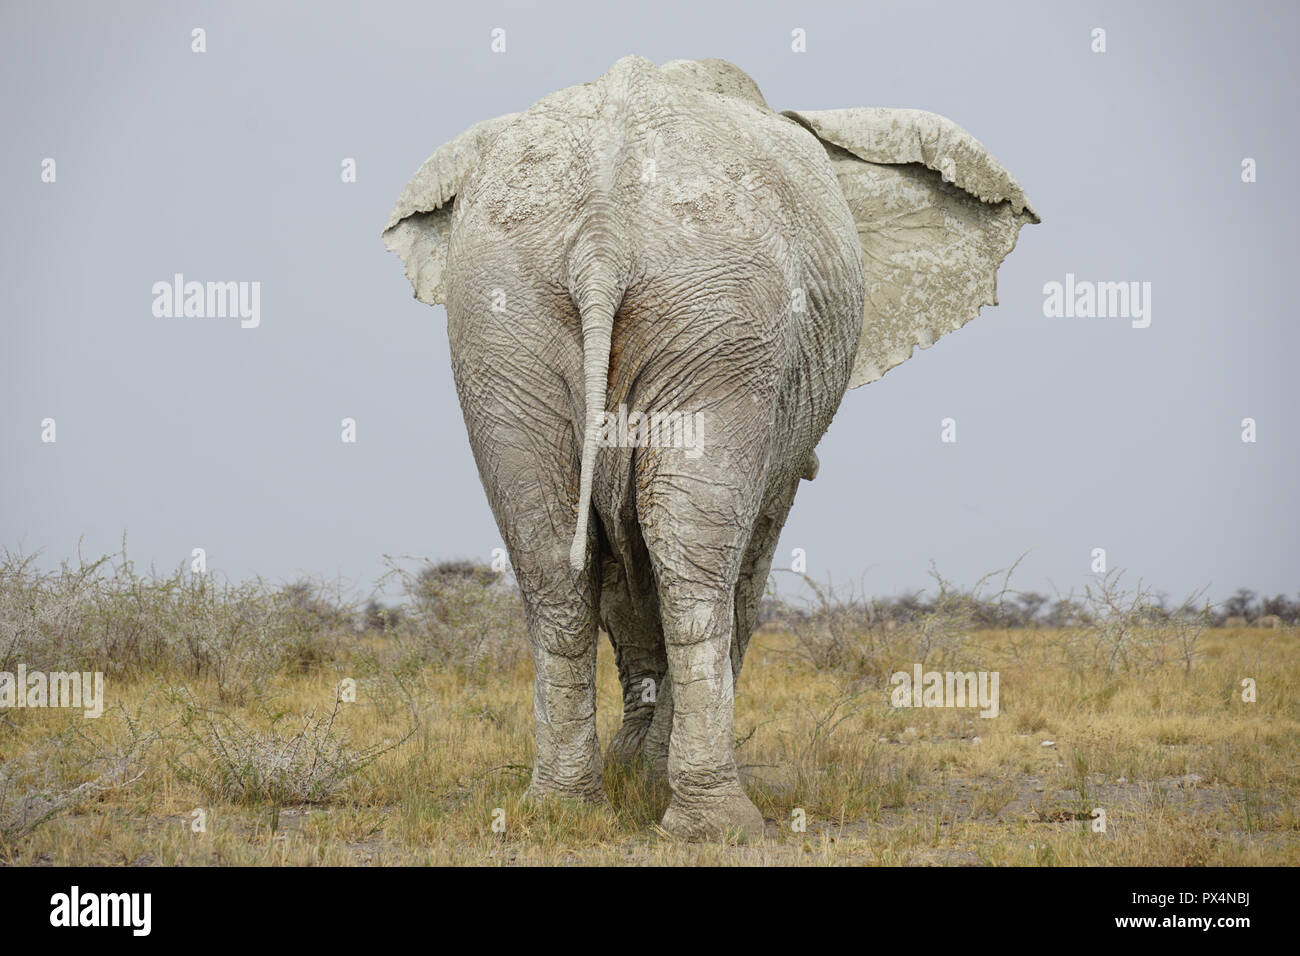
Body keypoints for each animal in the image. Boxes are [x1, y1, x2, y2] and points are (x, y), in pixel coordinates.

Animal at [383, 56, 1037, 840]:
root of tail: (601, 229)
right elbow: (747, 548)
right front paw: (644, 770)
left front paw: (633, 770)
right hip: (718, 310)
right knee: (696, 564)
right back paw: (718, 822)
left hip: (505, 311)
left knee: (551, 559)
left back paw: (561, 812)